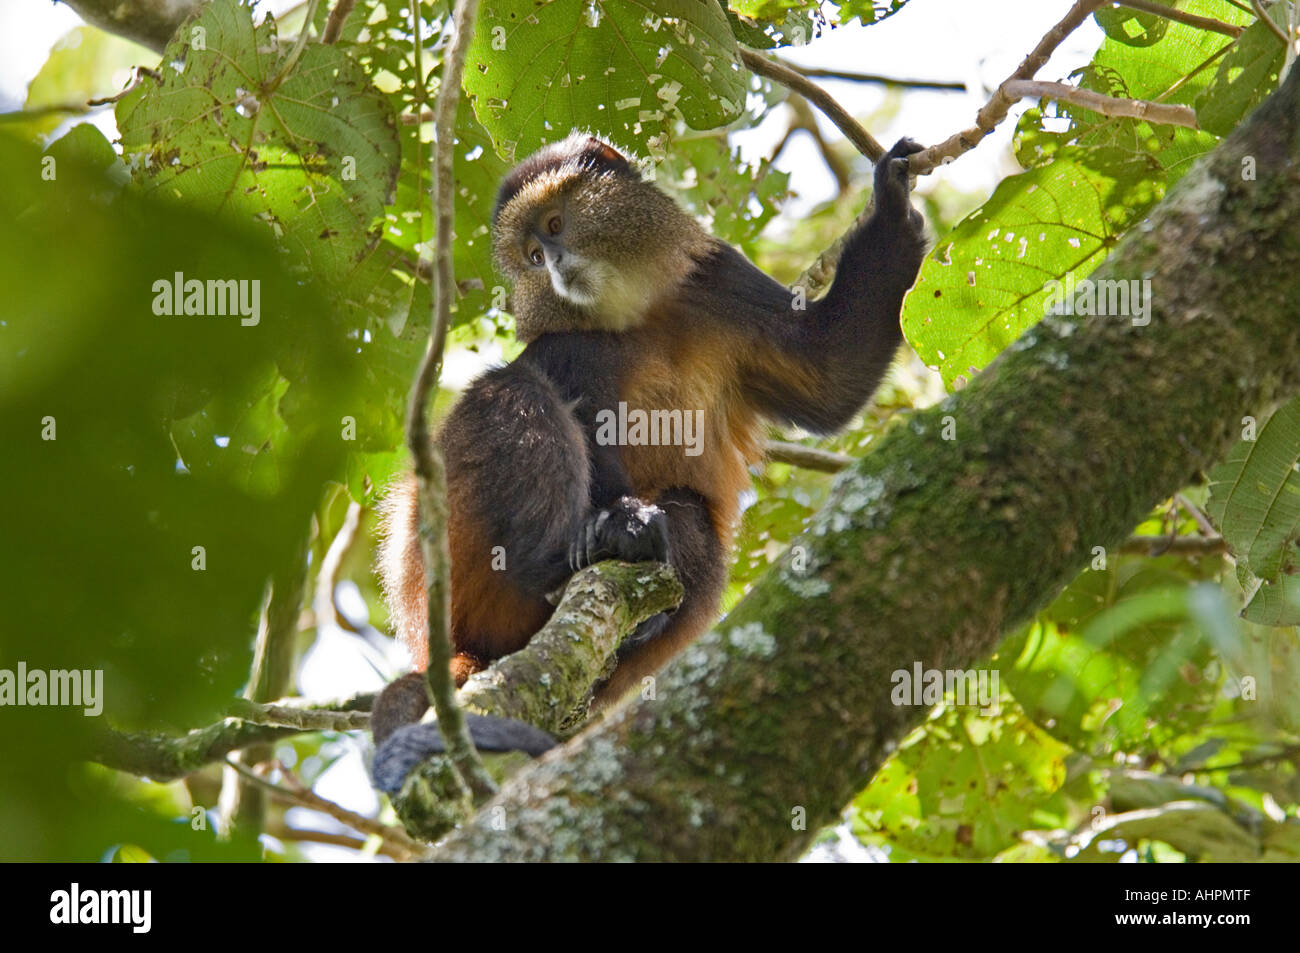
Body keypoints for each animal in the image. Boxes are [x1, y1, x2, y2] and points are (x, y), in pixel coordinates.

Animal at [369, 131, 927, 777]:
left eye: (555, 226)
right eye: (532, 257)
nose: (554, 265)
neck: (640, 314)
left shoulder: (719, 275)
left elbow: (829, 378)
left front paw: (893, 206)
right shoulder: (567, 346)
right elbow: (583, 424)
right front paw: (618, 526)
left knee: (693, 517)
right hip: (449, 566)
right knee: (510, 391)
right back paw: (558, 561)